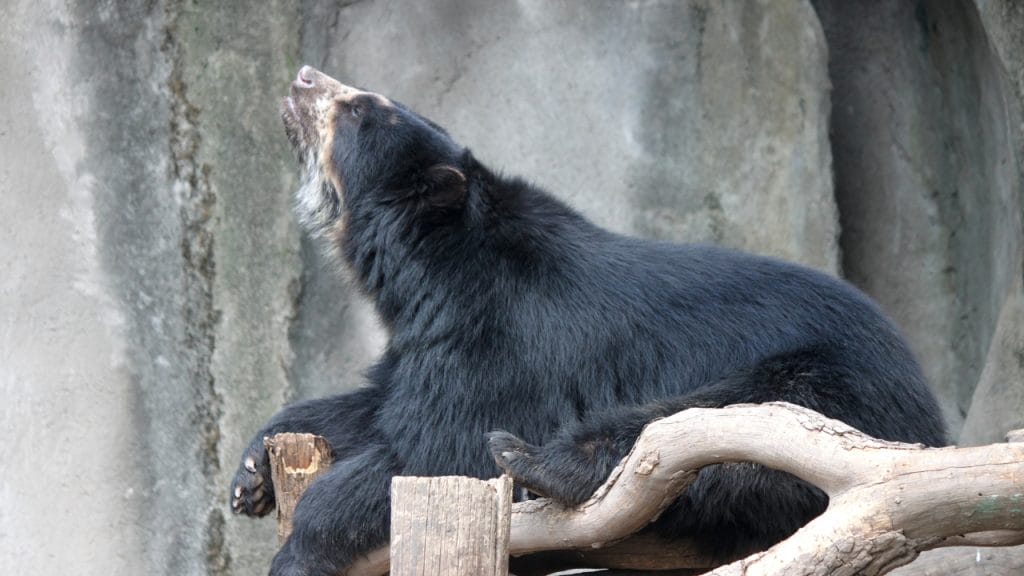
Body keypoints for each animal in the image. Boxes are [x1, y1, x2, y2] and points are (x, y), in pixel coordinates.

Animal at [229, 65, 946, 575]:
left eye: (360, 109)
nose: (303, 75)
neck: (433, 265)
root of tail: (927, 413)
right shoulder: (428, 336)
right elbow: (376, 406)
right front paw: (251, 476)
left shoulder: (506, 340)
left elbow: (438, 449)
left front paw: (295, 551)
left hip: (836, 390)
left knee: (700, 420)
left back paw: (536, 463)